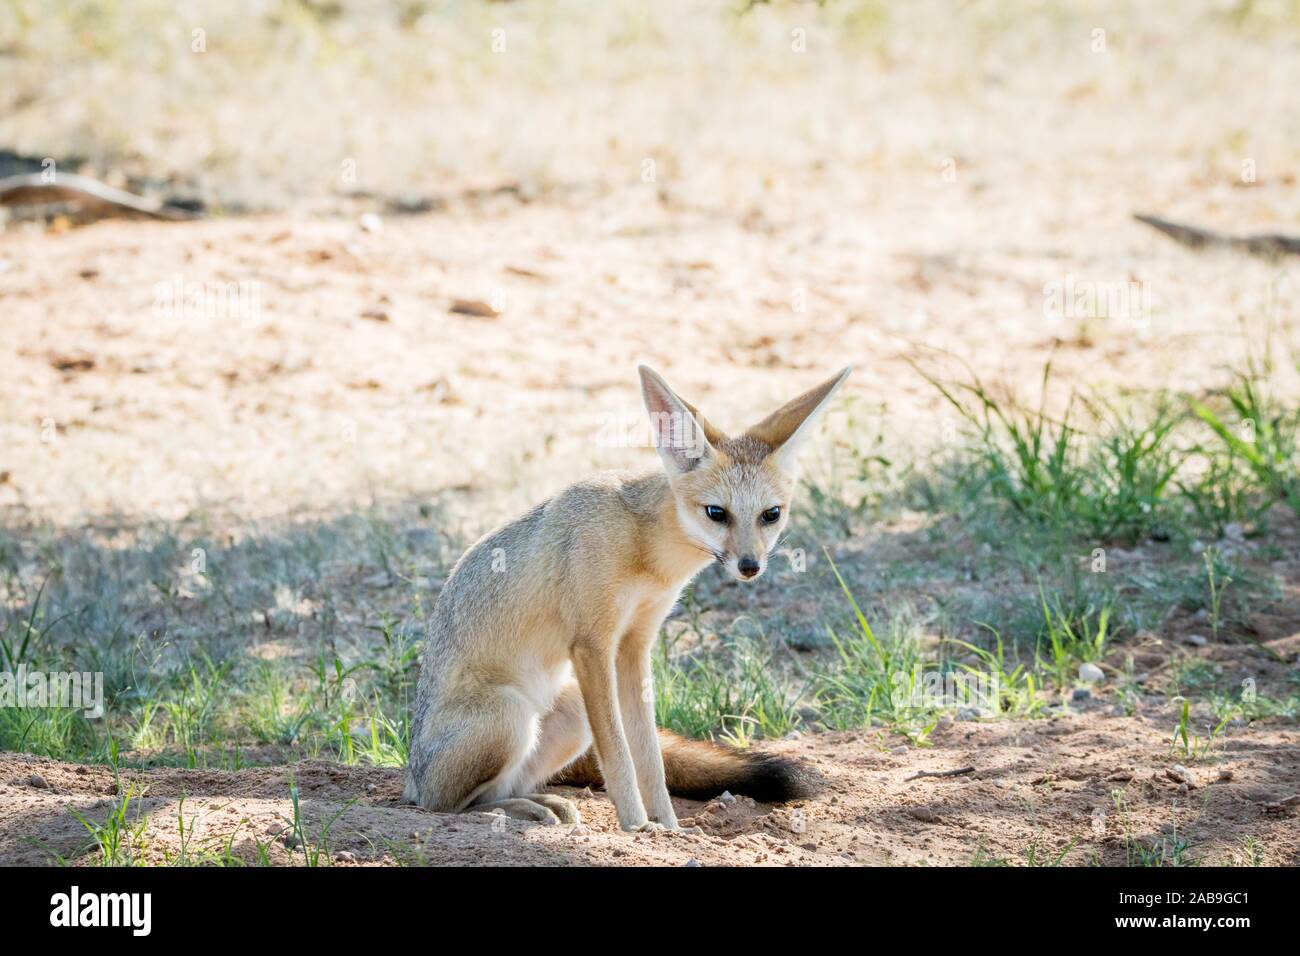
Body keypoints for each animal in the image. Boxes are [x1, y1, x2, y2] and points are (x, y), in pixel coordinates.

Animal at [404, 364, 851, 831]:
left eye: (771, 514)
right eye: (716, 513)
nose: (750, 566)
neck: (648, 554)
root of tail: (411, 777)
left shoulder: (634, 646)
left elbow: (649, 755)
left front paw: (669, 828)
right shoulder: (592, 646)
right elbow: (619, 754)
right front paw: (637, 826)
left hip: (570, 713)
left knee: (499, 790)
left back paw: (541, 804)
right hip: (511, 717)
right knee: (449, 804)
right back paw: (519, 810)